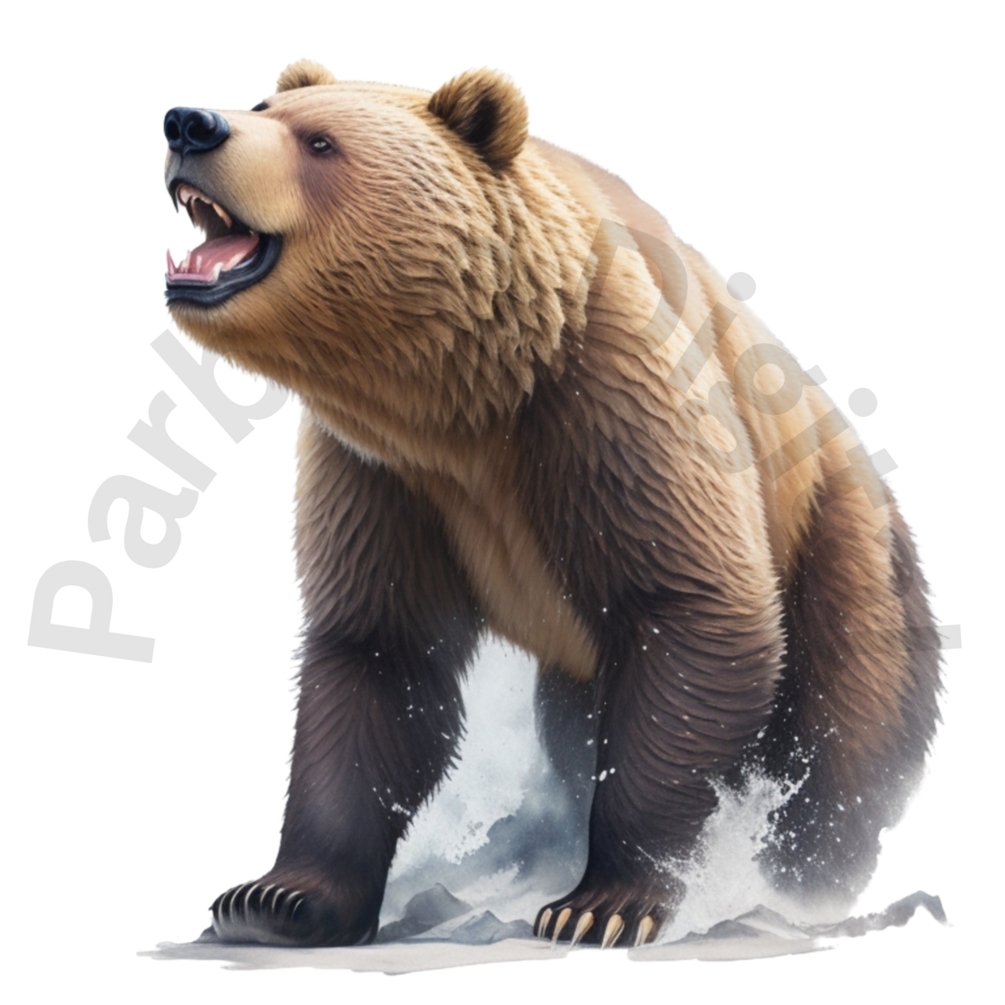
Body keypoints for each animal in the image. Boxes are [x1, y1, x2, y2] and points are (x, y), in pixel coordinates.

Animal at [162, 59, 941, 949]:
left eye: (319, 141)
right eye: (266, 103)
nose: (190, 123)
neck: (461, 406)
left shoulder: (606, 397)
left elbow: (694, 606)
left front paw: (600, 903)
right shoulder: (381, 475)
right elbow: (377, 656)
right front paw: (274, 897)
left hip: (840, 551)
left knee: (846, 741)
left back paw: (798, 880)